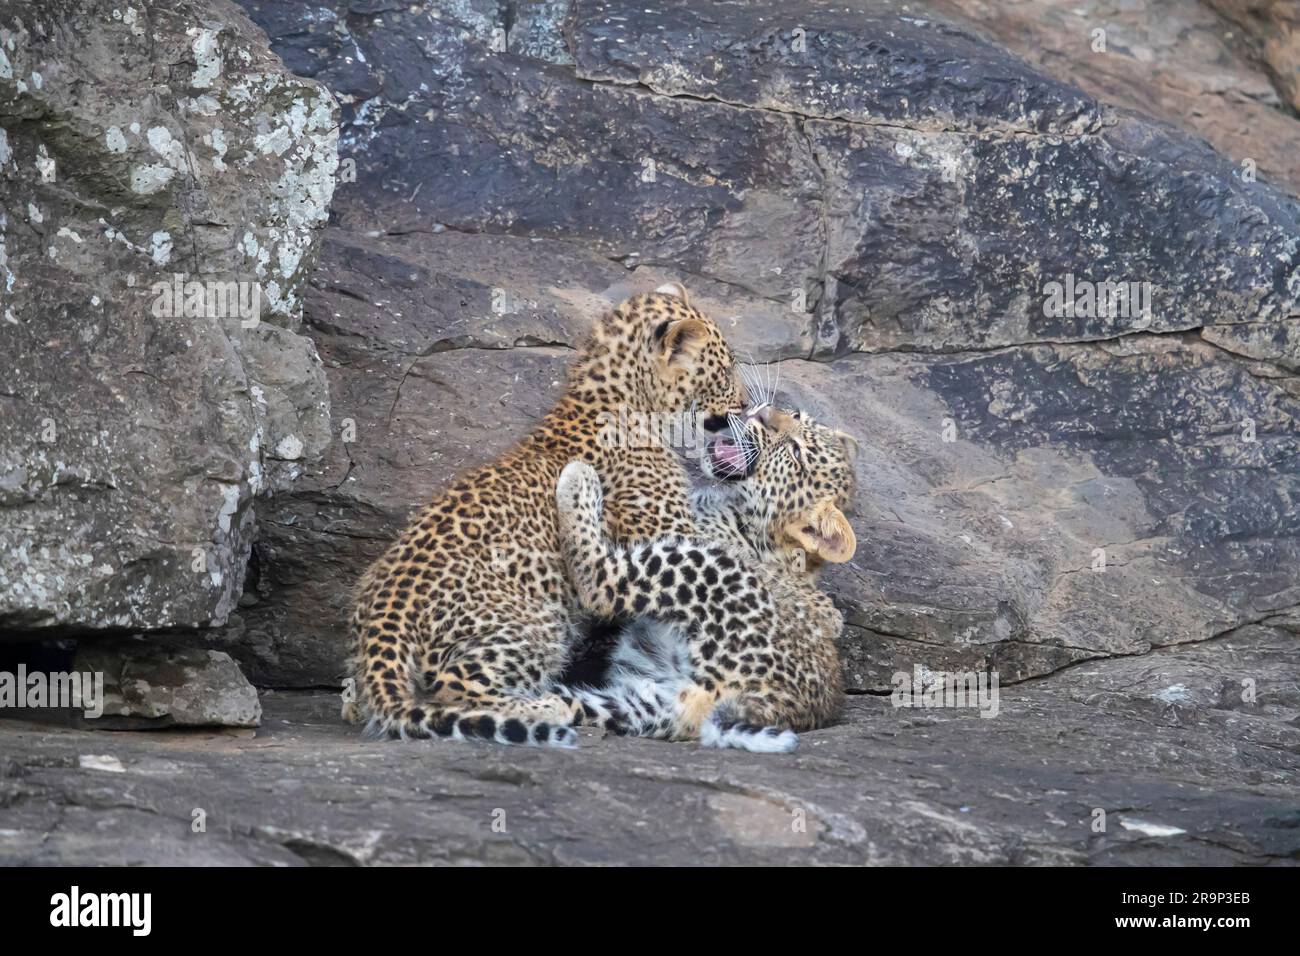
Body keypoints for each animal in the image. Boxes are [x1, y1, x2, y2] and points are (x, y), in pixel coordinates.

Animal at [344, 284, 748, 746]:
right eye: (725, 371)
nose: (746, 404)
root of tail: (385, 614)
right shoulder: (666, 533)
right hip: (536, 624)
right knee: (452, 690)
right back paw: (545, 706)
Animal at [552, 405, 859, 753]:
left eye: (796, 452)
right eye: (794, 415)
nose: (763, 412)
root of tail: (754, 705)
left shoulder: (680, 531)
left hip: (705, 567)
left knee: (602, 581)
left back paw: (578, 477)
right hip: (641, 699)